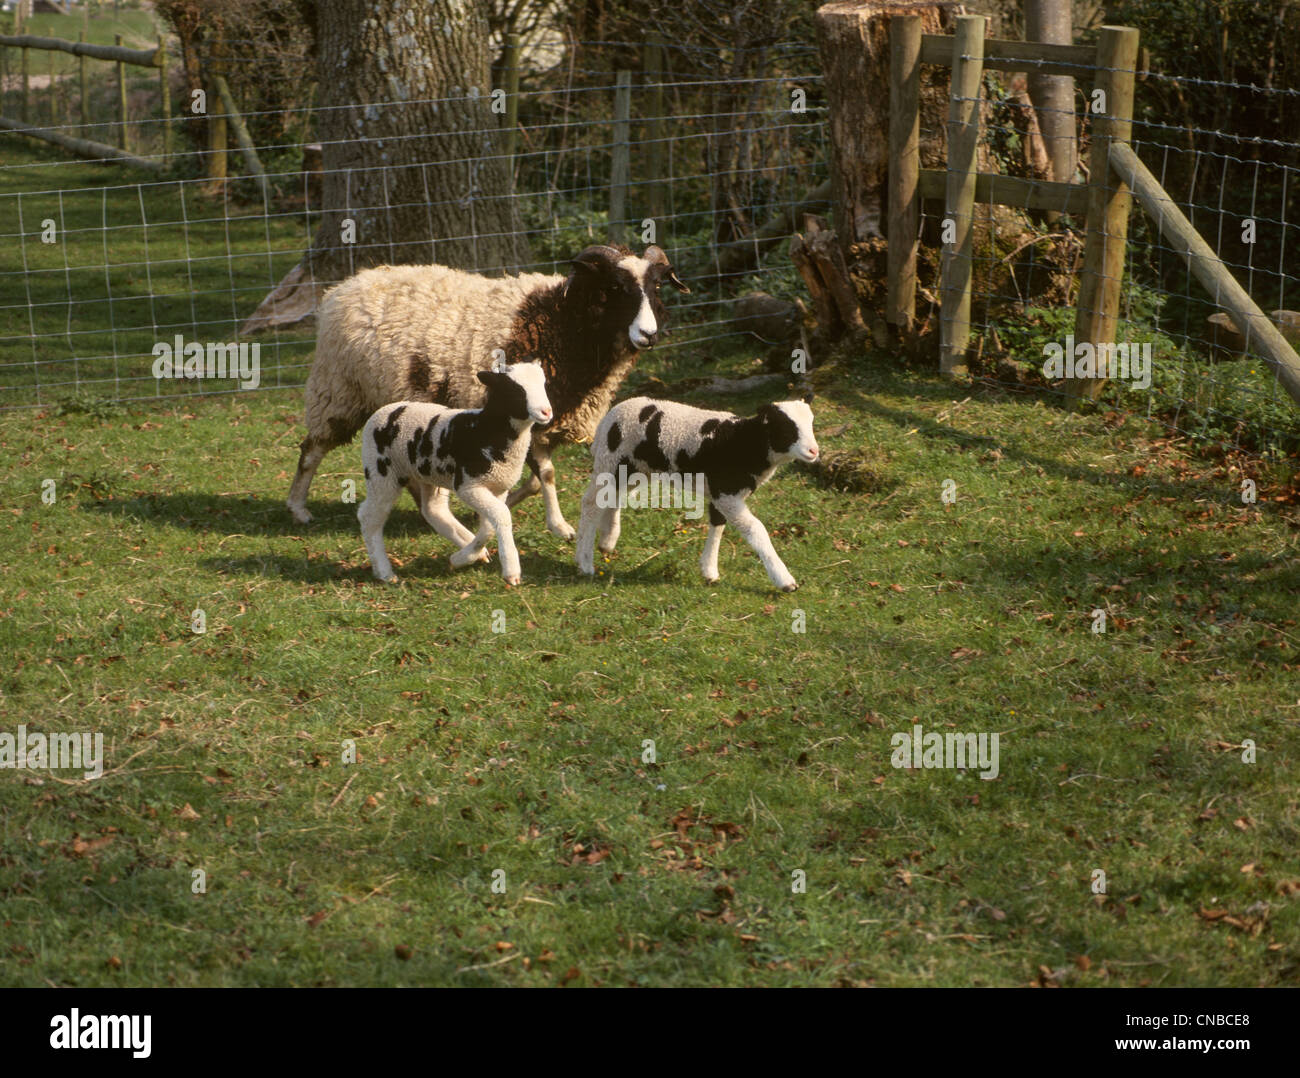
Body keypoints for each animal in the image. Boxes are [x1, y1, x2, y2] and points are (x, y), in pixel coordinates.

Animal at [287, 243, 690, 536]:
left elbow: (539, 478)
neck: (560, 322)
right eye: (616, 289)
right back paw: (298, 508)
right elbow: (545, 476)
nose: (649, 335)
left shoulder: (545, 420)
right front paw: (559, 526)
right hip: (339, 390)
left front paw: (513, 506)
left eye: (655, 287)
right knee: (312, 449)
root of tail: (342, 289)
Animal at [356, 362, 553, 586]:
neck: (487, 429)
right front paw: (511, 570)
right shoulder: (468, 485)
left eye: (544, 384)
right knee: (370, 517)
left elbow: (490, 524)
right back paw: (385, 572)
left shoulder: (498, 487)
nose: (546, 412)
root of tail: (381, 412)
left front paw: (463, 558)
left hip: (429, 474)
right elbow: (501, 515)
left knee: (433, 510)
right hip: (381, 472)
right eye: (515, 389)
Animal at [575, 394, 819, 592]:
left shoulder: (720, 493)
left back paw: (607, 540)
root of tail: (608, 419)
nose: (814, 451)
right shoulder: (726, 492)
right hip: (610, 461)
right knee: (591, 504)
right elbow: (755, 529)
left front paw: (709, 570)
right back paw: (585, 562)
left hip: (634, 468)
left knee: (614, 498)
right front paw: (784, 580)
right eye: (787, 428)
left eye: (811, 424)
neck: (744, 442)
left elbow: (718, 524)